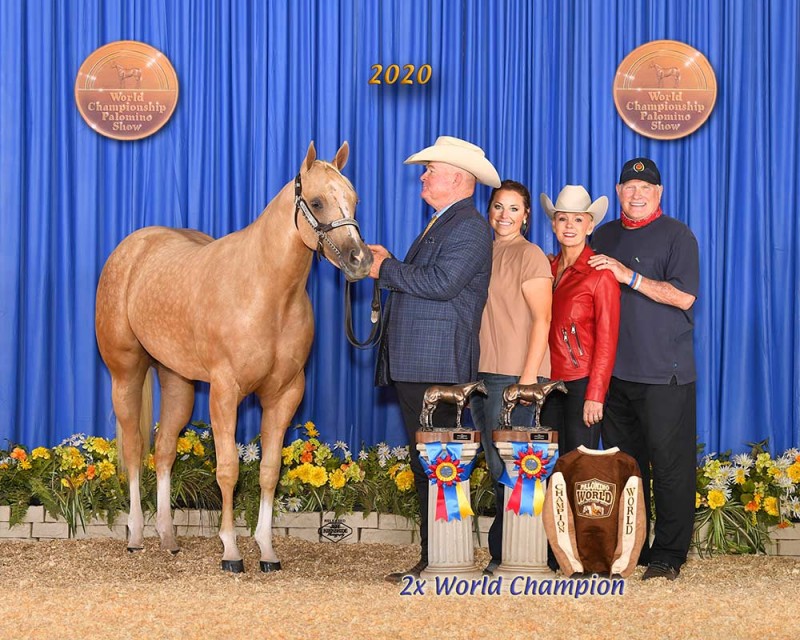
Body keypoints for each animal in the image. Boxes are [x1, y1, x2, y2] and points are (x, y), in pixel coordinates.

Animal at [95, 141, 372, 573]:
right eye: (317, 201)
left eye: (354, 200)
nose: (360, 260)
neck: (266, 292)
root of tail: (132, 248)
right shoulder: (226, 392)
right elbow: (227, 471)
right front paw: (230, 550)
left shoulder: (285, 393)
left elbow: (270, 472)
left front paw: (267, 550)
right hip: (126, 371)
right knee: (134, 448)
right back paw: (137, 536)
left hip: (176, 380)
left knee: (164, 450)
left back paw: (169, 538)